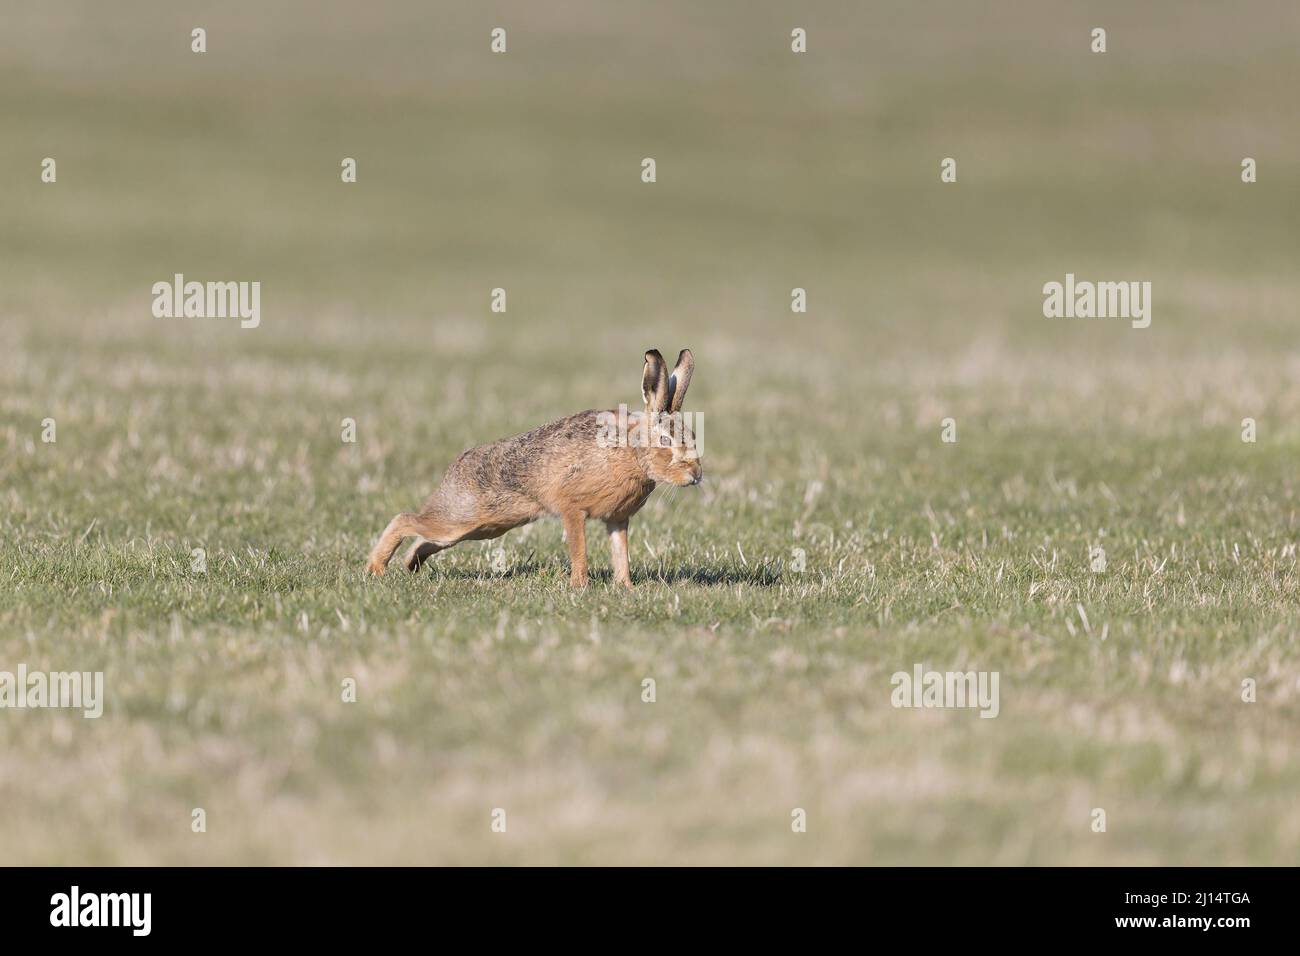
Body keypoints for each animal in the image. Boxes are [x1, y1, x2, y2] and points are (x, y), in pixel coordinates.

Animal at [367, 348, 701, 588]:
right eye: (665, 440)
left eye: (694, 436)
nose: (696, 474)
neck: (632, 453)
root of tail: (455, 467)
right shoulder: (571, 507)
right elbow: (579, 550)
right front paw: (580, 586)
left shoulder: (617, 519)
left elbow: (621, 554)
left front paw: (626, 588)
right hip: (460, 520)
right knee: (404, 519)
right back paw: (377, 569)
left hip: (479, 528)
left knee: (425, 539)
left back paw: (409, 565)